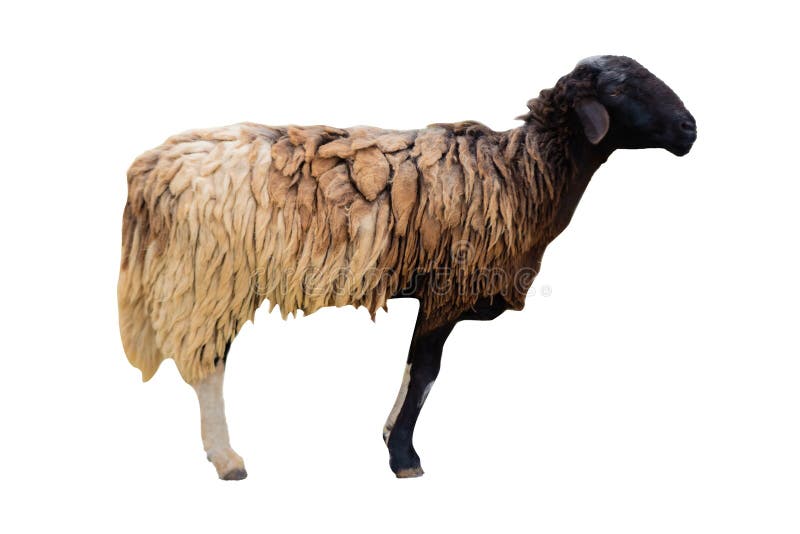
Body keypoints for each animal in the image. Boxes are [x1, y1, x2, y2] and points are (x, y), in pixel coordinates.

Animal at [118, 55, 696, 480]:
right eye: (617, 91)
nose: (690, 129)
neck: (522, 173)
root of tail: (152, 169)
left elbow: (418, 370)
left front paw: (389, 437)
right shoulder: (447, 288)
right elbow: (424, 372)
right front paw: (402, 456)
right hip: (215, 275)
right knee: (208, 366)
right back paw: (227, 459)